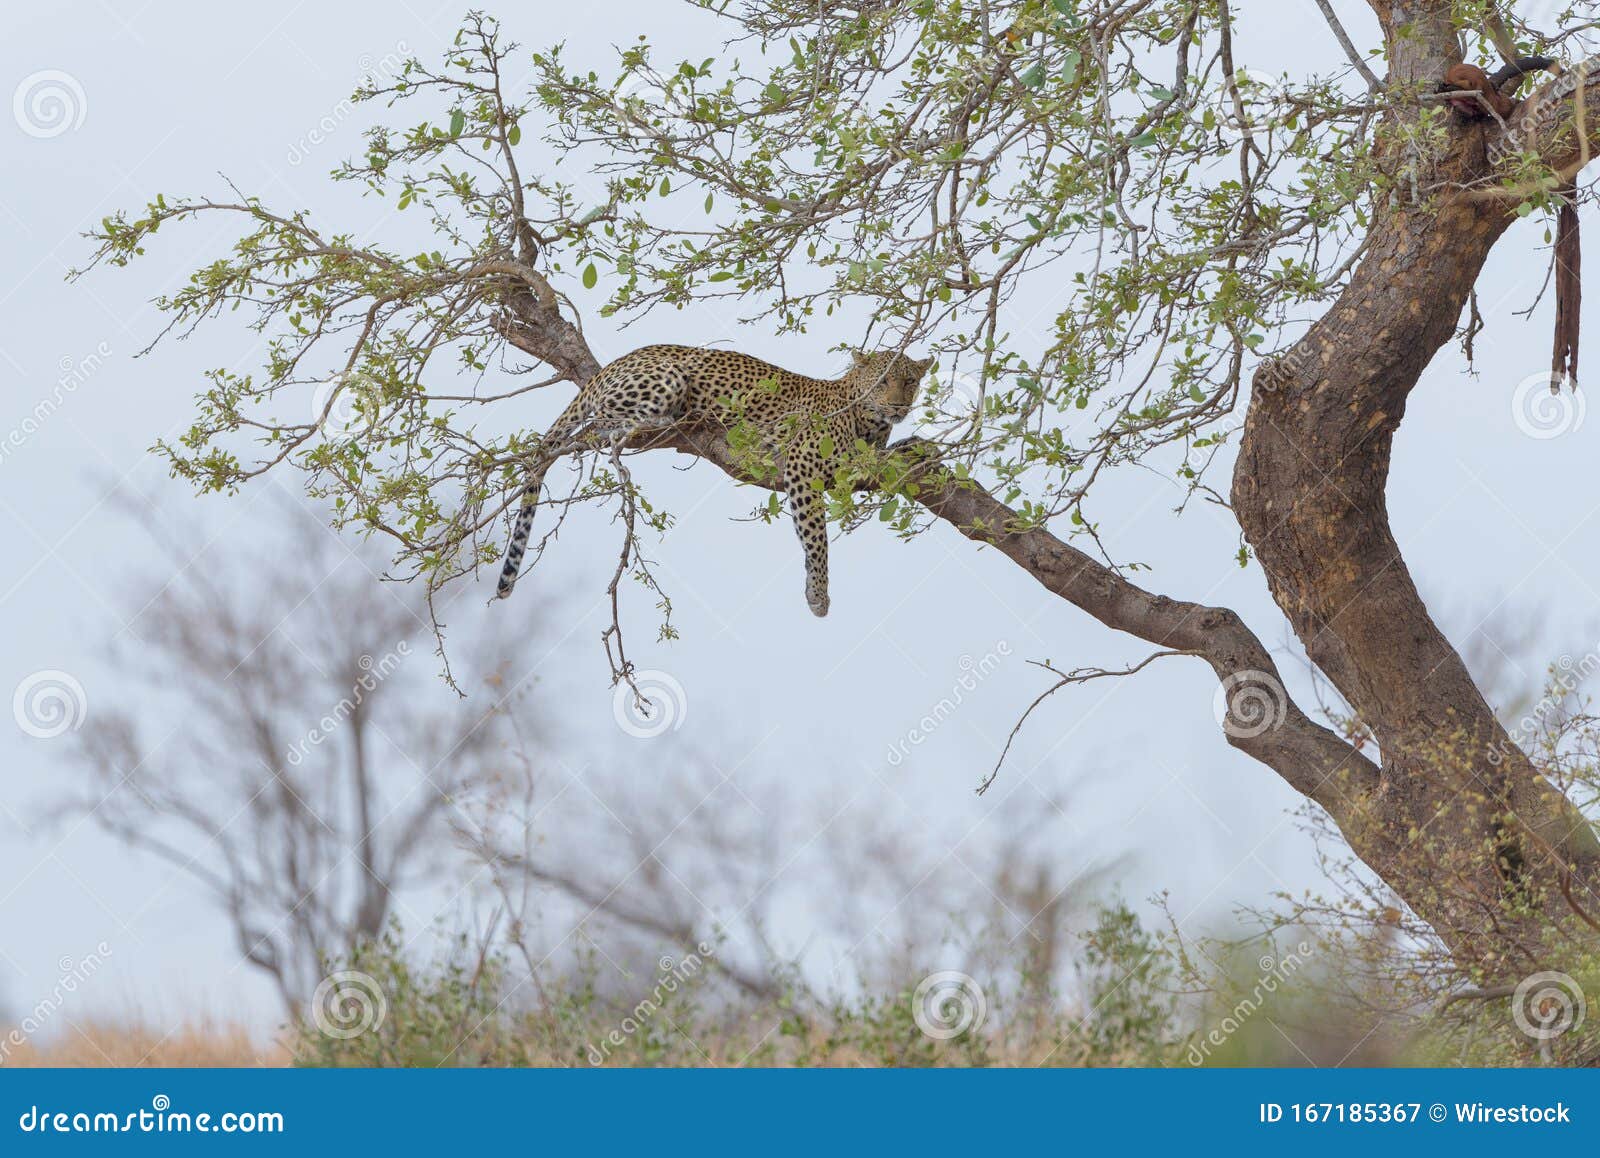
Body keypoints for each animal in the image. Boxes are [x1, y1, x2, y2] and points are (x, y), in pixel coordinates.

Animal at [495, 344, 933, 617]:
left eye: (909, 381)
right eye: (883, 380)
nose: (898, 404)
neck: (869, 421)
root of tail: (612, 365)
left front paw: (917, 444)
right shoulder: (802, 465)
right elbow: (816, 537)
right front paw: (818, 593)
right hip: (669, 377)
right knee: (603, 424)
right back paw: (678, 418)